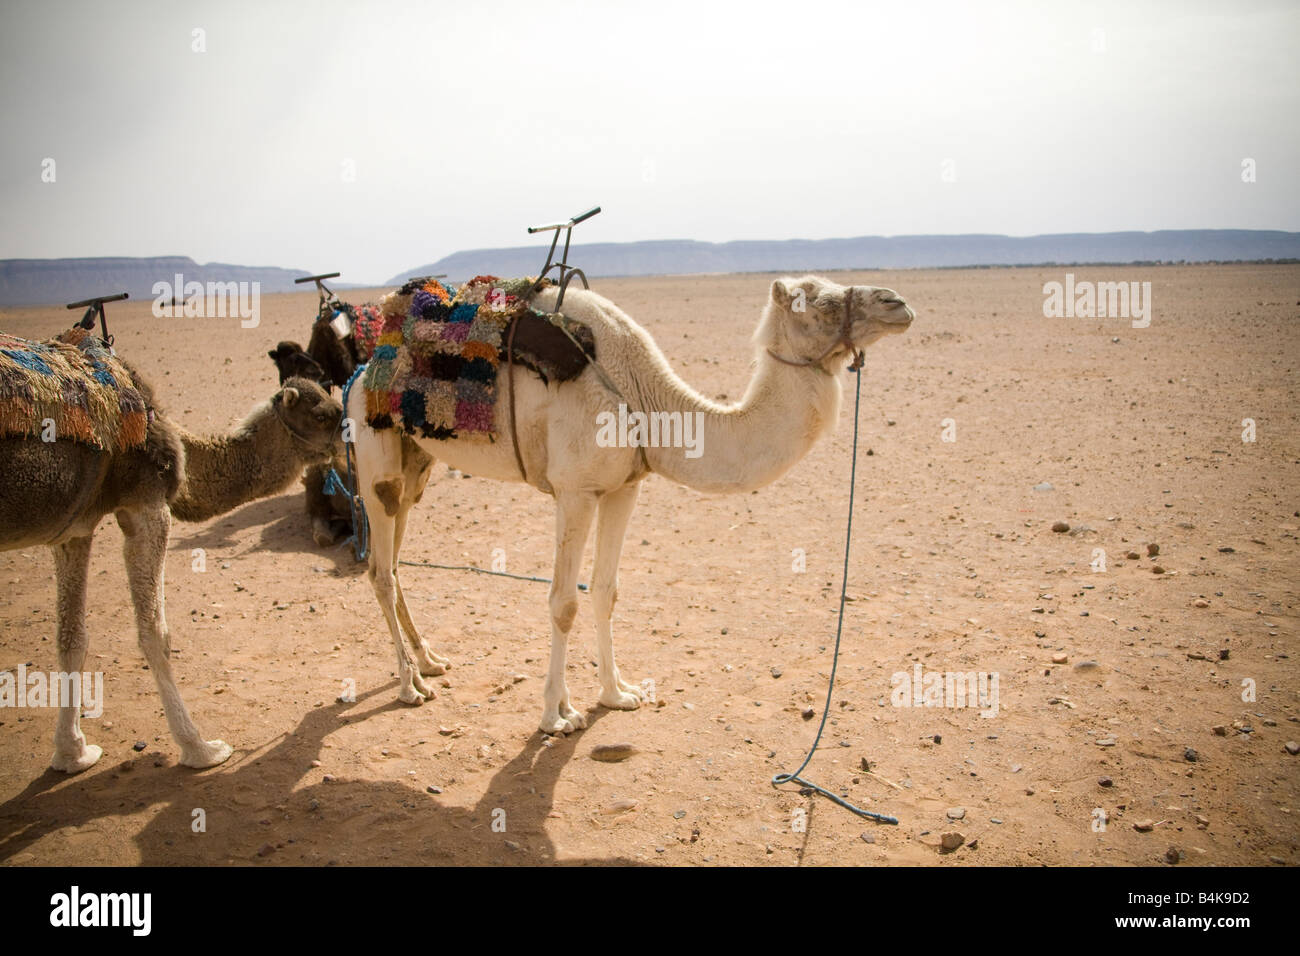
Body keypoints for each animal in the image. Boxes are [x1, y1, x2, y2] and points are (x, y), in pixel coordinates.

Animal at [0, 351, 342, 773]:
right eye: (323, 415)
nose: (351, 434)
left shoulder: (74, 530)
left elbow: (71, 636)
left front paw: (73, 753)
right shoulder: (146, 504)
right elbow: (155, 634)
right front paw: (201, 748)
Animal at [349, 274, 913, 734]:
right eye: (816, 300)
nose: (898, 303)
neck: (646, 400)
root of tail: (364, 367)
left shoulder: (624, 486)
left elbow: (605, 592)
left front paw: (617, 694)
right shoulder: (575, 489)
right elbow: (564, 602)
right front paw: (557, 715)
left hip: (418, 463)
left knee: (395, 560)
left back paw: (430, 661)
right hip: (374, 455)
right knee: (378, 569)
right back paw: (411, 686)